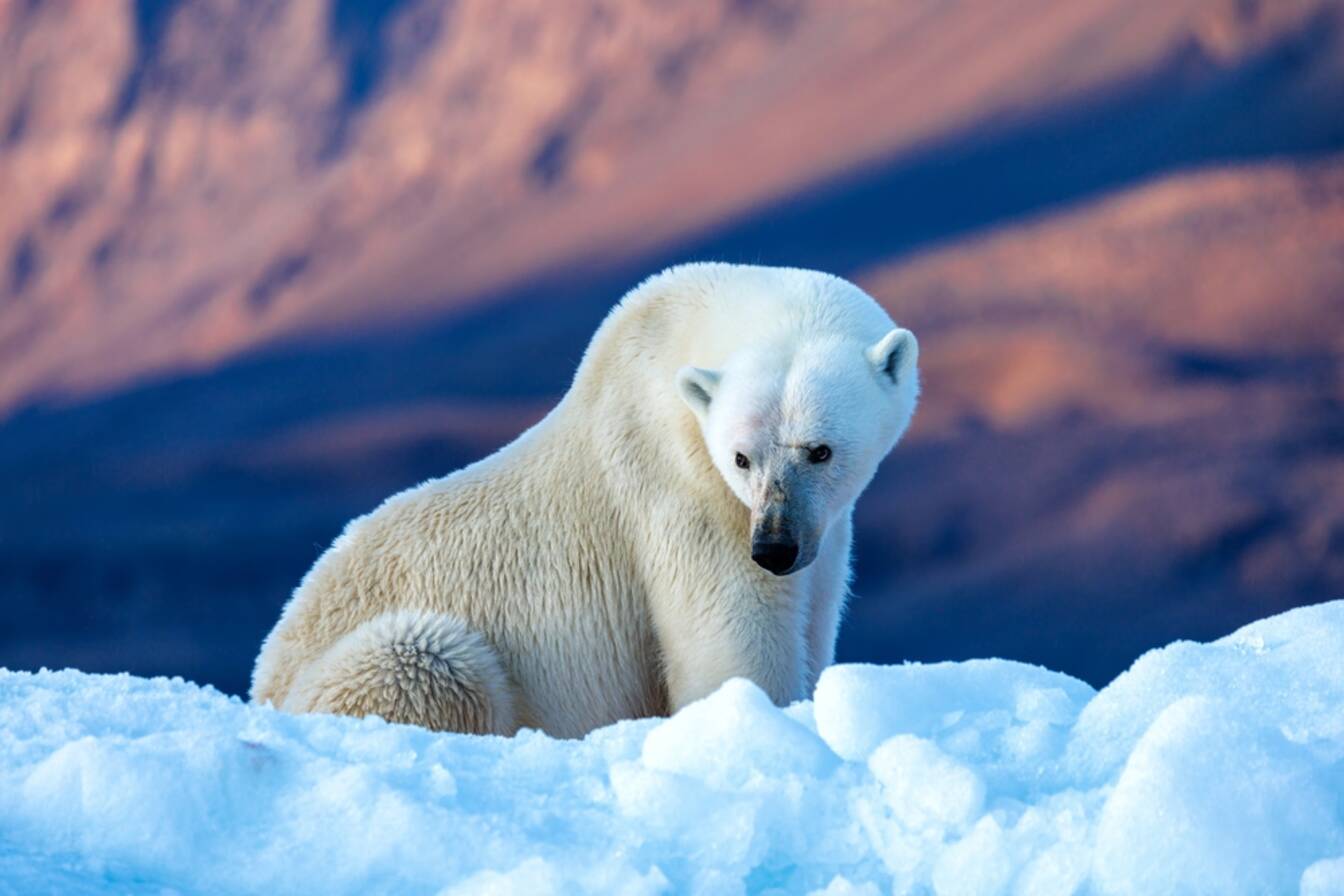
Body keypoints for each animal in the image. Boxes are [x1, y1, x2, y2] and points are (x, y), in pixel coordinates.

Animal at [250, 262, 920, 737]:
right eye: (740, 457)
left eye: (820, 450)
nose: (774, 548)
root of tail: (265, 682)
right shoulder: (683, 493)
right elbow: (732, 645)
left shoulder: (821, 530)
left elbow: (814, 613)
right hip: (376, 663)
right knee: (428, 655)